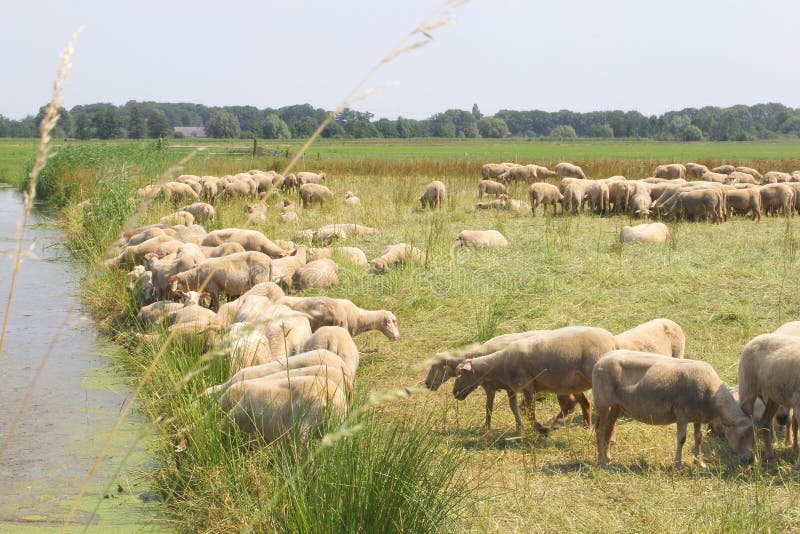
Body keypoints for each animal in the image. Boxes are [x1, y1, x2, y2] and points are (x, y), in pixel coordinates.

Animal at [452, 326, 618, 434]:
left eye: (460, 374)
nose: (454, 393)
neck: (500, 364)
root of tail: (613, 341)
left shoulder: (526, 386)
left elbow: (527, 411)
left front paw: (539, 428)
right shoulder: (514, 388)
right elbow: (516, 408)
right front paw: (522, 428)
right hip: (572, 384)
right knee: (583, 403)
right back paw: (585, 427)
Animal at [593, 350, 754, 468]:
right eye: (742, 436)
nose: (750, 460)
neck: (712, 396)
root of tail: (601, 359)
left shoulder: (698, 415)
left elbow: (699, 437)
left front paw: (700, 463)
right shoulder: (681, 413)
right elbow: (682, 439)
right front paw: (678, 465)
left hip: (616, 405)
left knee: (609, 428)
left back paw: (608, 457)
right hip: (602, 401)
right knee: (600, 430)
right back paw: (602, 462)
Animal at [738, 334, 800, 467]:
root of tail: (755, 338)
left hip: (772, 398)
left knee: (765, 422)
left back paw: (770, 456)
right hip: (747, 389)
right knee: (748, 423)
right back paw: (751, 455)